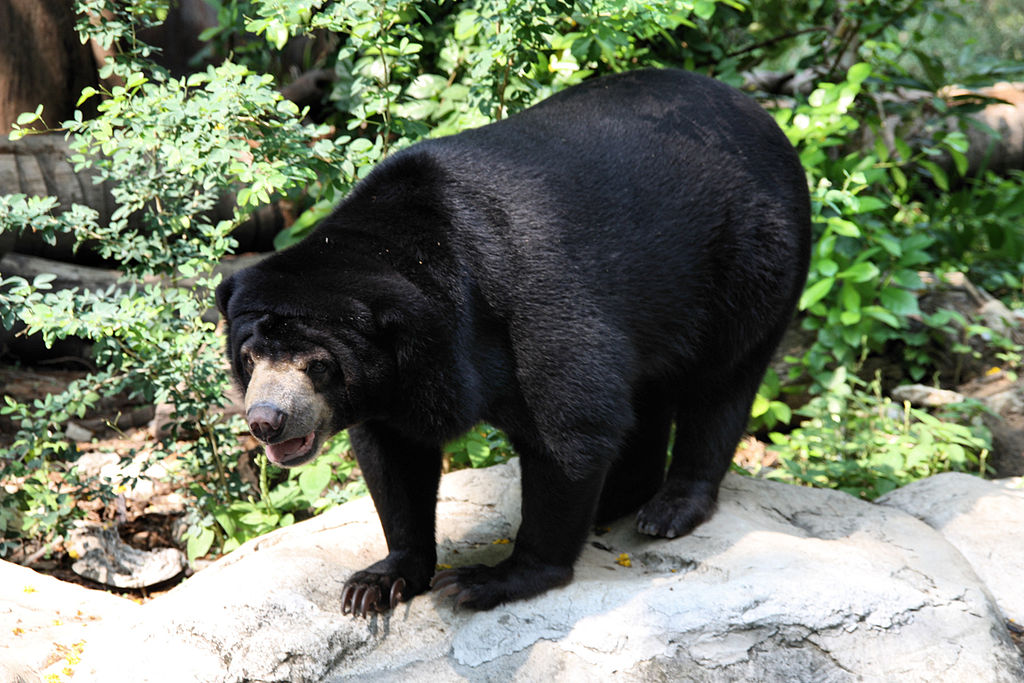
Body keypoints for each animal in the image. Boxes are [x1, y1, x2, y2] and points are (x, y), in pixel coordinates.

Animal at [216, 68, 811, 616]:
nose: (267, 420)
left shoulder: (530, 304)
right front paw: (378, 581)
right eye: (250, 357)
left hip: (752, 263)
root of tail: (761, 115)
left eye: (317, 365)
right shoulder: (395, 384)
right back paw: (620, 499)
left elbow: (573, 426)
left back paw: (669, 509)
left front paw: (488, 579)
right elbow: (392, 454)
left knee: (721, 383)